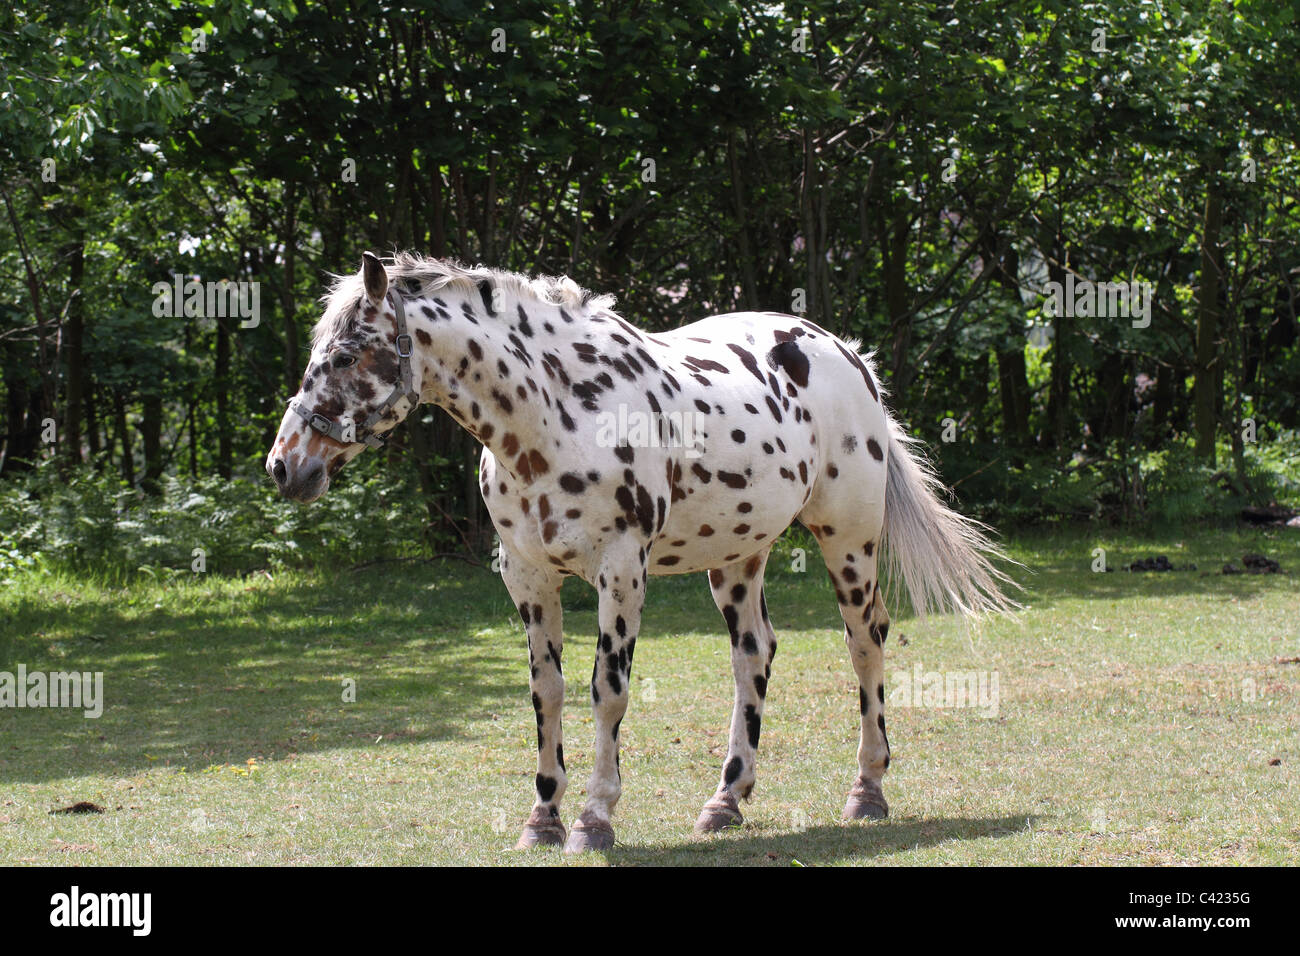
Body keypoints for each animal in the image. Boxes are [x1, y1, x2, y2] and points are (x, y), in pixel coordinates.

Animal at [265, 252, 1017, 853]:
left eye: (345, 356)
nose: (283, 466)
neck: (552, 414)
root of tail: (847, 353)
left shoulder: (620, 572)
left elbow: (607, 690)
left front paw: (593, 818)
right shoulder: (527, 577)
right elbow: (547, 691)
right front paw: (542, 816)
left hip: (847, 539)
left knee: (866, 642)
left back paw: (867, 789)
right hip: (738, 557)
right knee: (755, 655)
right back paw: (725, 800)